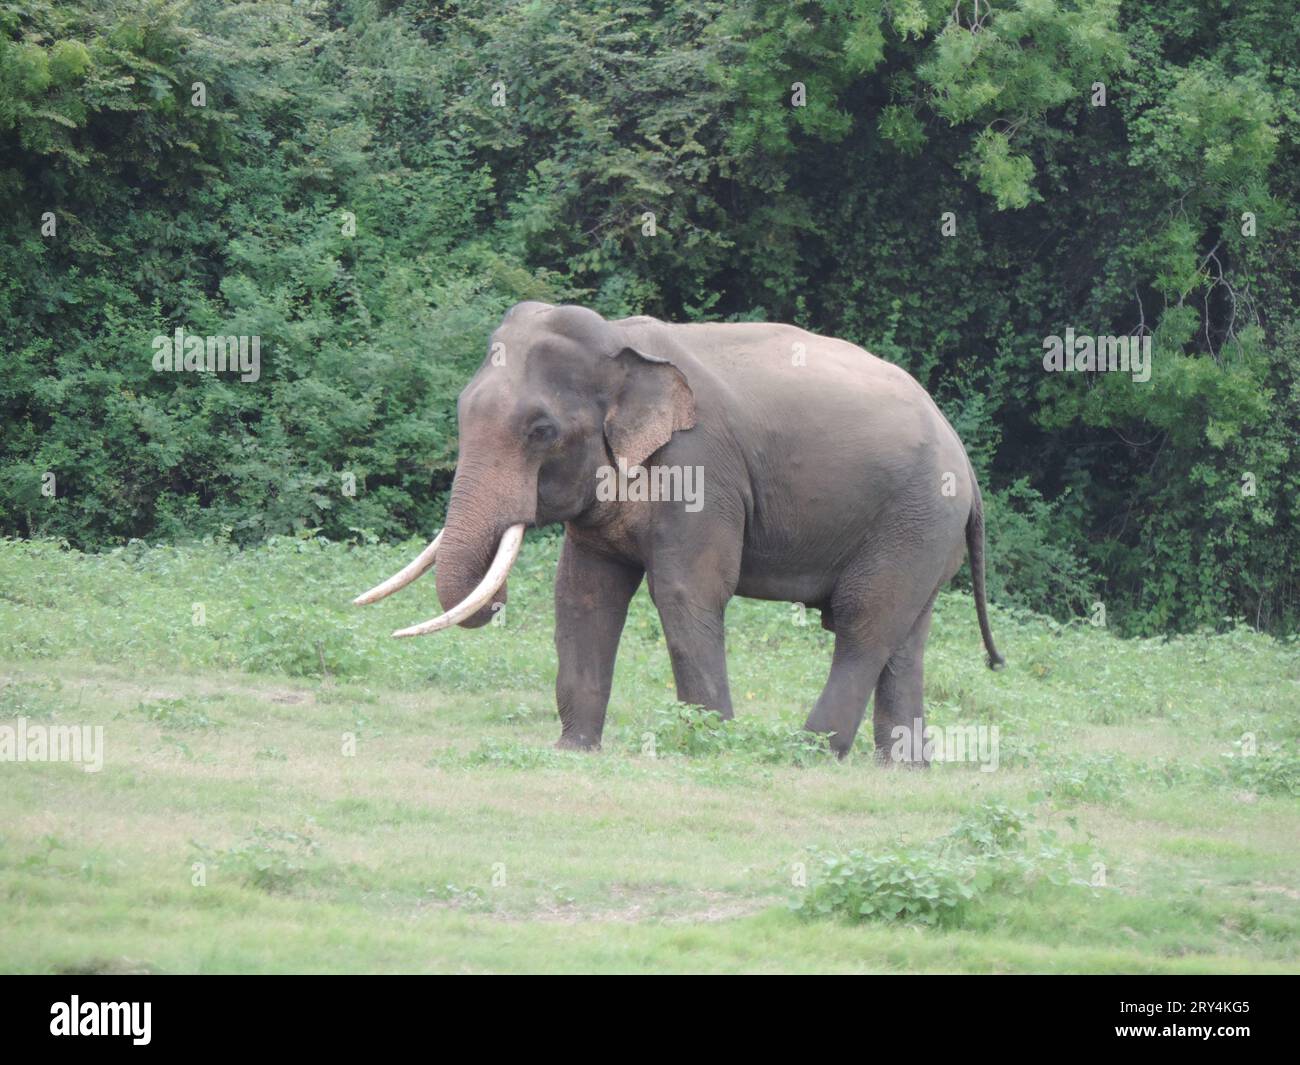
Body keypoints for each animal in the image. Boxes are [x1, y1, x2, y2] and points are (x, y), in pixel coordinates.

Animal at [354, 302, 1003, 761]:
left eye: (541, 431)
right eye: (461, 409)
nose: (496, 599)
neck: (621, 345)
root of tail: (965, 460)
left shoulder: (698, 468)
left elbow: (686, 590)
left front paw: (708, 746)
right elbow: (582, 593)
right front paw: (573, 750)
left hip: (915, 515)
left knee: (864, 623)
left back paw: (806, 752)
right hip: (922, 529)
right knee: (905, 635)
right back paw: (901, 767)